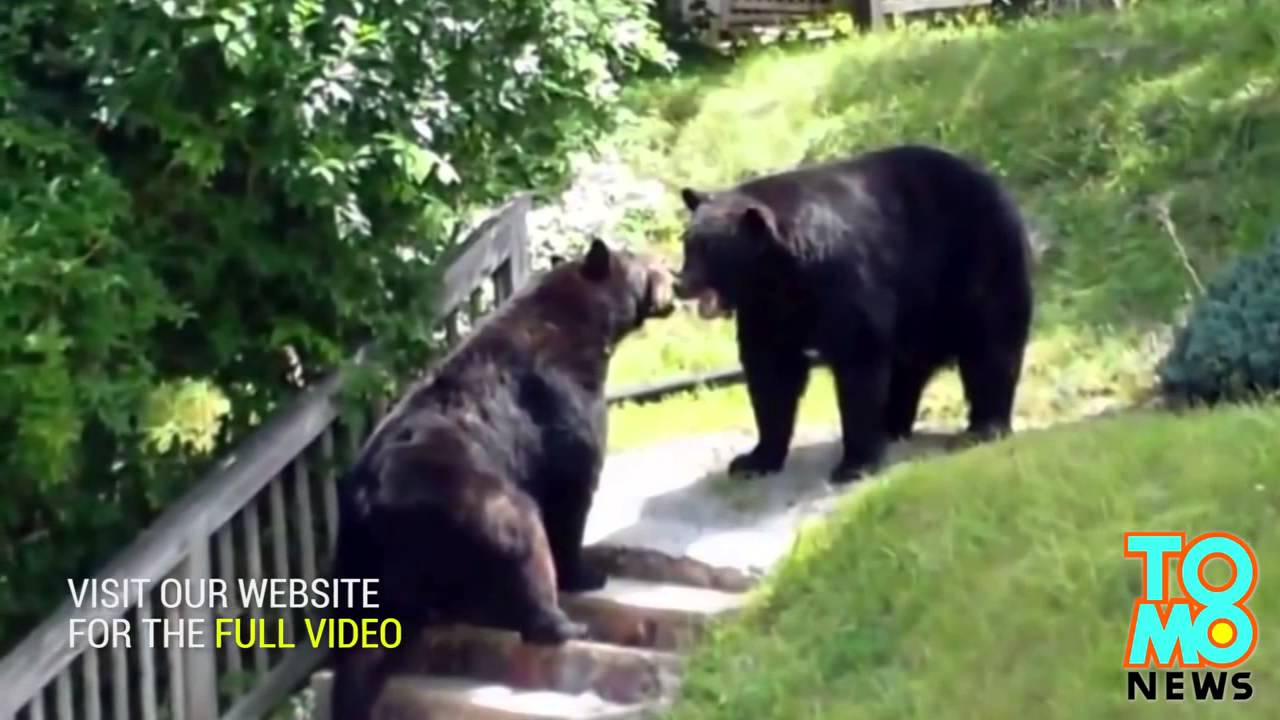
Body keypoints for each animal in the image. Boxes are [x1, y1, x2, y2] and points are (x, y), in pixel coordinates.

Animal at [328, 238, 676, 720]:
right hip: (473, 497)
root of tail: (371, 499)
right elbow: (571, 491)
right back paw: (564, 624)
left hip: (362, 560)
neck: (587, 325)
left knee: (363, 644)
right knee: (525, 538)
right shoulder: (562, 406)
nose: (672, 272)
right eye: (642, 260)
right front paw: (586, 573)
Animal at [673, 144, 1034, 484]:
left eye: (709, 250)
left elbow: (858, 359)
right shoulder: (767, 308)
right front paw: (754, 460)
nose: (679, 284)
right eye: (687, 242)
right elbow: (770, 369)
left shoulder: (842, 279)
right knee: (908, 365)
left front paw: (854, 464)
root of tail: (998, 186)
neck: (783, 273)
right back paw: (892, 424)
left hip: (978, 263)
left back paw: (984, 427)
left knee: (990, 345)